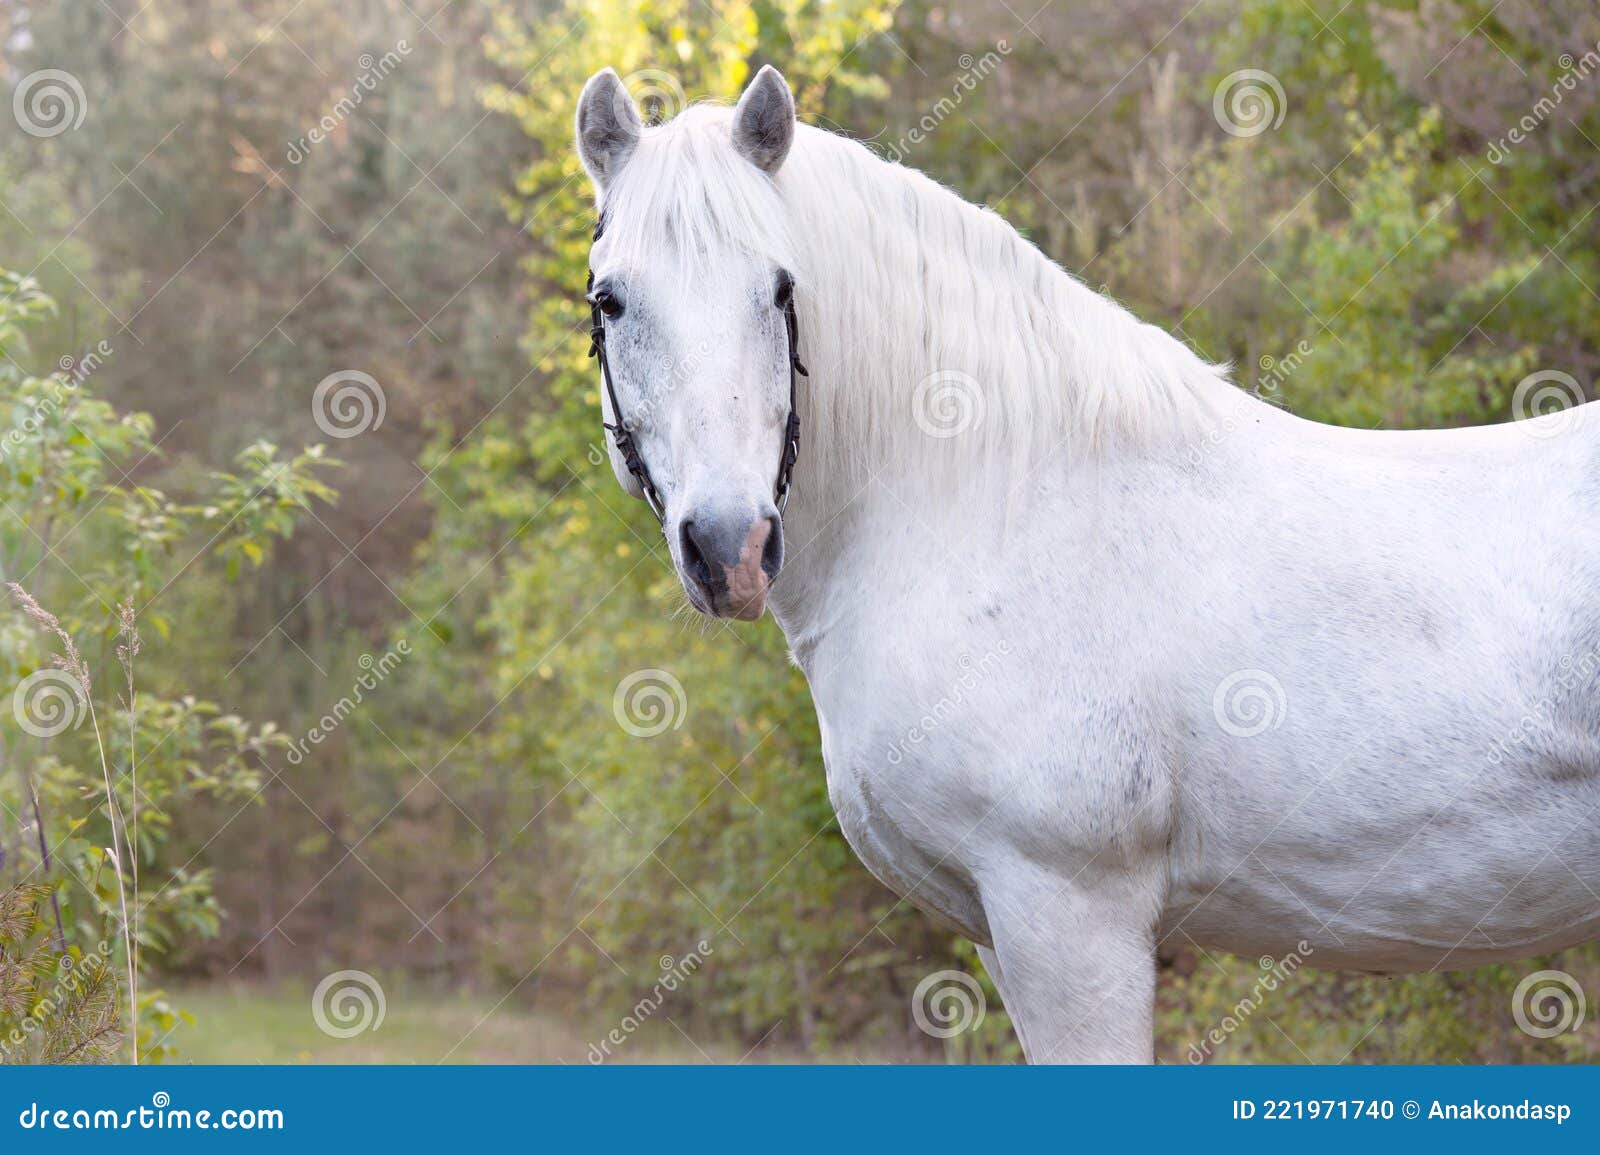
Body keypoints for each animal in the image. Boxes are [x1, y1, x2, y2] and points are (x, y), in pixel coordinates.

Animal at [574, 64, 1600, 1062]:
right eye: (609, 301)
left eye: (781, 291)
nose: (730, 549)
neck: (998, 504)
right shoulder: (1002, 926)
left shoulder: (1069, 913)